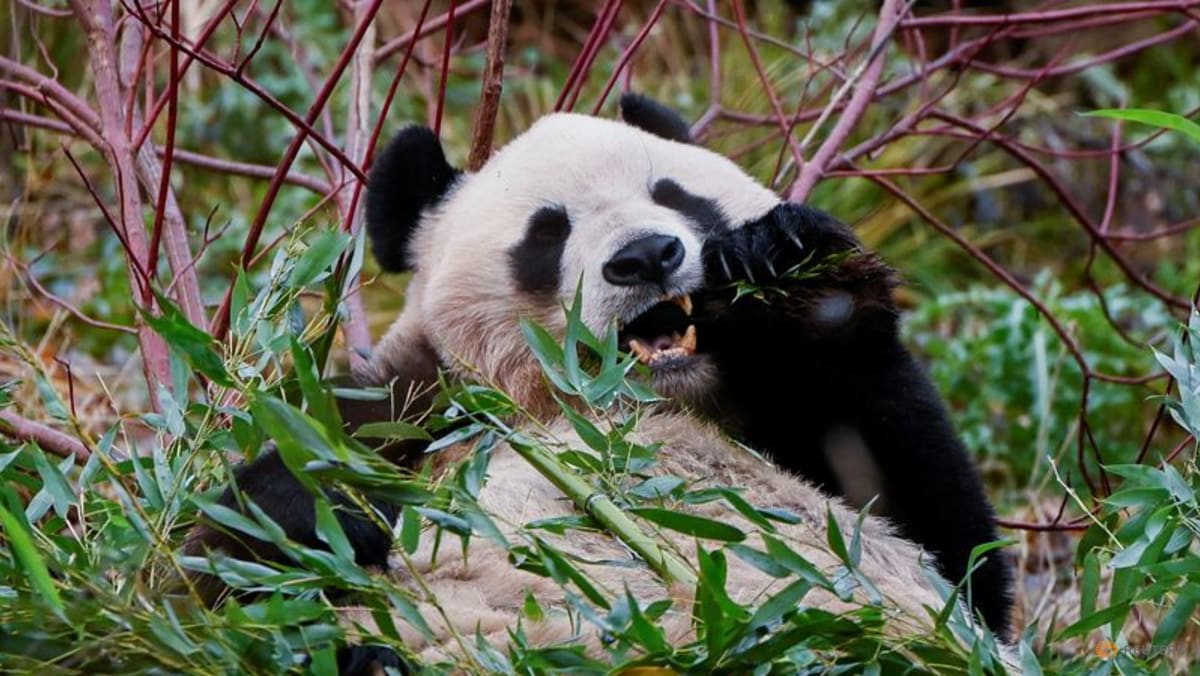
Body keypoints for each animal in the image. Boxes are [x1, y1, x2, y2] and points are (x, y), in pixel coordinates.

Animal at [187, 94, 1013, 671]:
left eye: (676, 195)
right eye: (546, 233)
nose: (646, 255)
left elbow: (950, 555)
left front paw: (792, 268)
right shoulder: (420, 407)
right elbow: (222, 559)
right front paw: (335, 509)